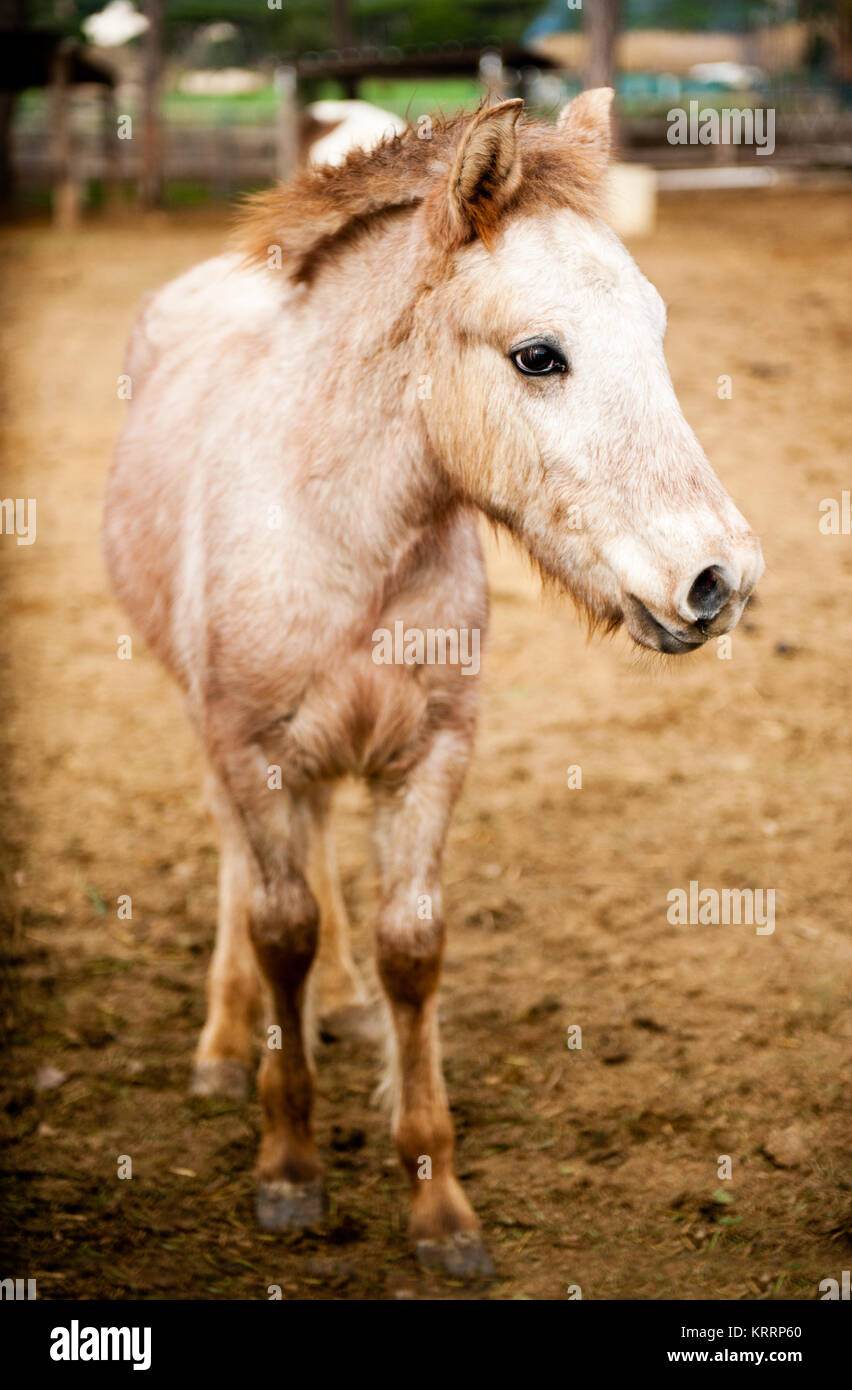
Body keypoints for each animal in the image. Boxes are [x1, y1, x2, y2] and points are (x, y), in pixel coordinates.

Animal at [103, 90, 764, 1277]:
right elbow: (280, 928)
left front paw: (438, 1205)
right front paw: (288, 1168)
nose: (718, 579)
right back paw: (223, 1045)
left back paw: (342, 1006)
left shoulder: (430, 754)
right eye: (538, 355)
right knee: (240, 864)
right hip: (212, 728)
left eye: (654, 330)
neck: (345, 532)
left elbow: (411, 950)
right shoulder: (254, 746)